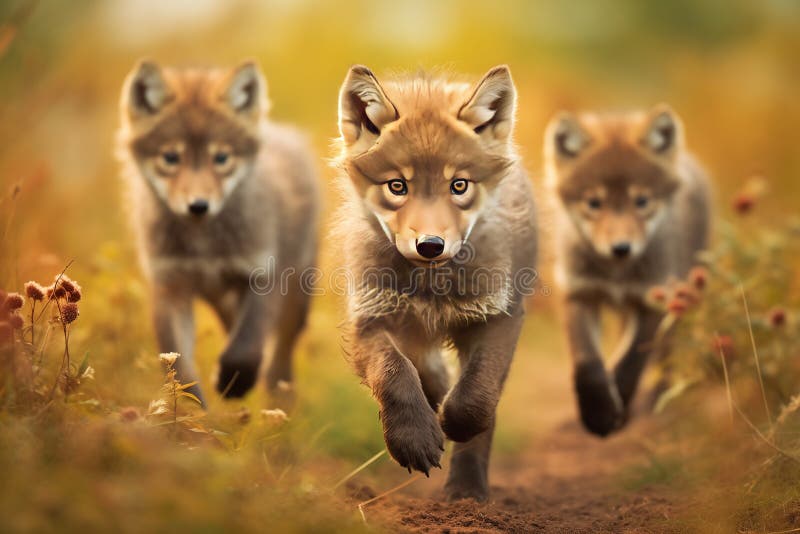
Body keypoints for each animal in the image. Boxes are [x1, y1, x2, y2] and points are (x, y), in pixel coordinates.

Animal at [117, 60, 320, 405]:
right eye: (171, 158)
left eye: (222, 158)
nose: (198, 206)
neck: (205, 244)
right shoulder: (170, 285)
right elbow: (179, 369)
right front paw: (189, 413)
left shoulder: (264, 275)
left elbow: (245, 348)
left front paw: (234, 383)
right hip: (221, 297)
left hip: (297, 294)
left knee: (280, 354)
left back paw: (279, 399)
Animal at [333, 65, 538, 501]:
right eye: (397, 186)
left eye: (459, 186)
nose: (430, 245)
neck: (431, 287)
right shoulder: (370, 317)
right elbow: (394, 374)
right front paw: (414, 439)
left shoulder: (498, 315)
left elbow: (475, 400)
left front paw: (451, 426)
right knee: (429, 373)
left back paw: (467, 489)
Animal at [544, 105, 711, 436]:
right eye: (594, 202)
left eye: (642, 201)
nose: (621, 248)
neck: (616, 276)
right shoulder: (579, 295)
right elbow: (589, 364)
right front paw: (598, 413)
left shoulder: (651, 301)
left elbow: (631, 362)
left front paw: (617, 410)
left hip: (675, 306)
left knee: (665, 359)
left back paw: (657, 402)